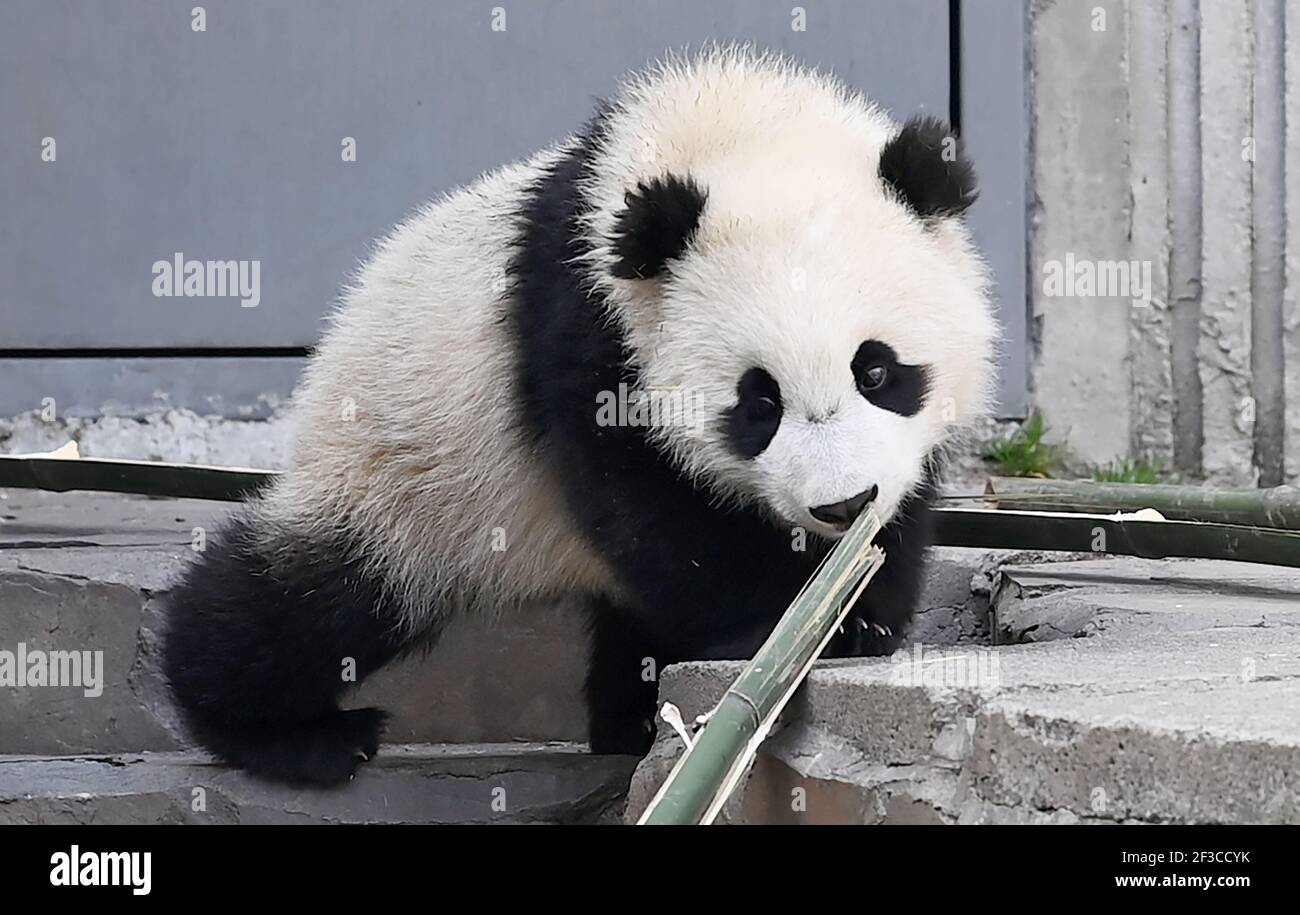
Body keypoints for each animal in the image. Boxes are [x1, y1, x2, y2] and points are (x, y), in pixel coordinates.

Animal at [162, 47, 997, 787]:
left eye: (876, 370)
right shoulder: (585, 322)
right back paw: (291, 734)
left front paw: (859, 610)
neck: (734, 129)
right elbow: (646, 507)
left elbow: (900, 506)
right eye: (758, 402)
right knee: (308, 600)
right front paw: (781, 623)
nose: (840, 504)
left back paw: (627, 720)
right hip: (401, 473)